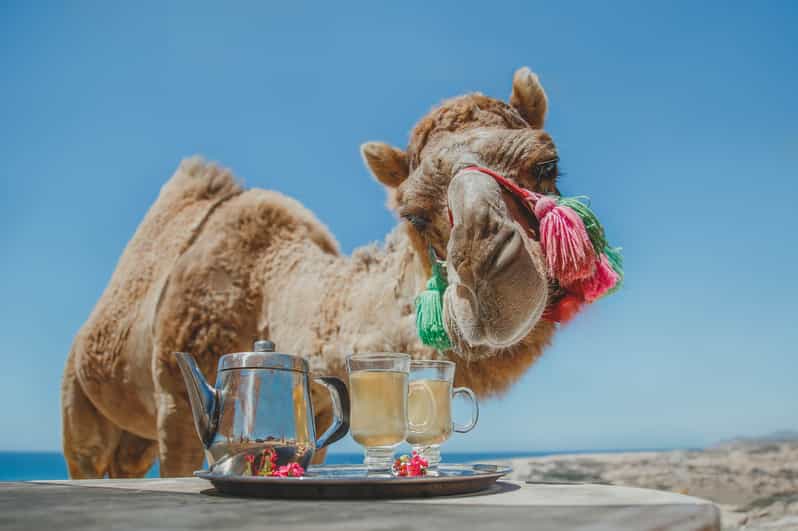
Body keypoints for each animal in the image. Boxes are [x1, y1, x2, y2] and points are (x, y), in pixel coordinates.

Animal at [62, 67, 566, 478]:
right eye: (414, 215)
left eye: (547, 165)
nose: (495, 278)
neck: (265, 285)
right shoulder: (177, 403)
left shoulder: (321, 411)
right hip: (81, 399)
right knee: (88, 455)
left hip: (133, 434)